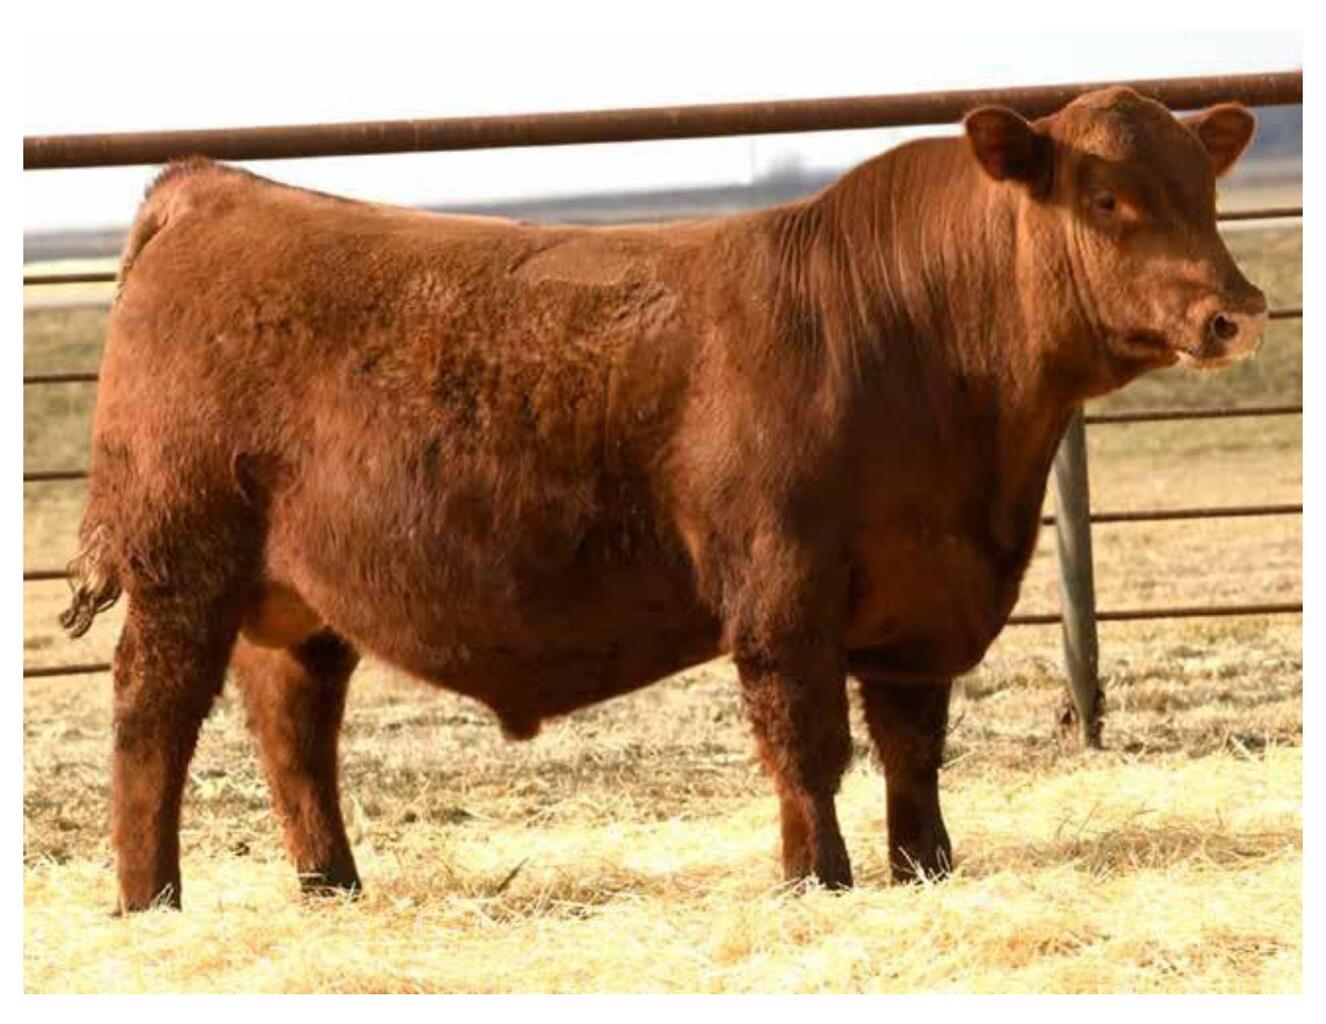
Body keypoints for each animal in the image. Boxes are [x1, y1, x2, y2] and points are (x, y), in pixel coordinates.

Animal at [61, 86, 1266, 913]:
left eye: (1206, 194)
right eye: (1106, 198)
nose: (1237, 309)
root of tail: (213, 188)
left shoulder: (919, 607)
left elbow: (913, 750)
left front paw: (926, 868)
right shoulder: (782, 591)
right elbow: (806, 743)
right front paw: (816, 879)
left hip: (297, 594)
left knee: (292, 725)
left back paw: (332, 884)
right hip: (179, 564)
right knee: (151, 716)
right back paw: (149, 900)